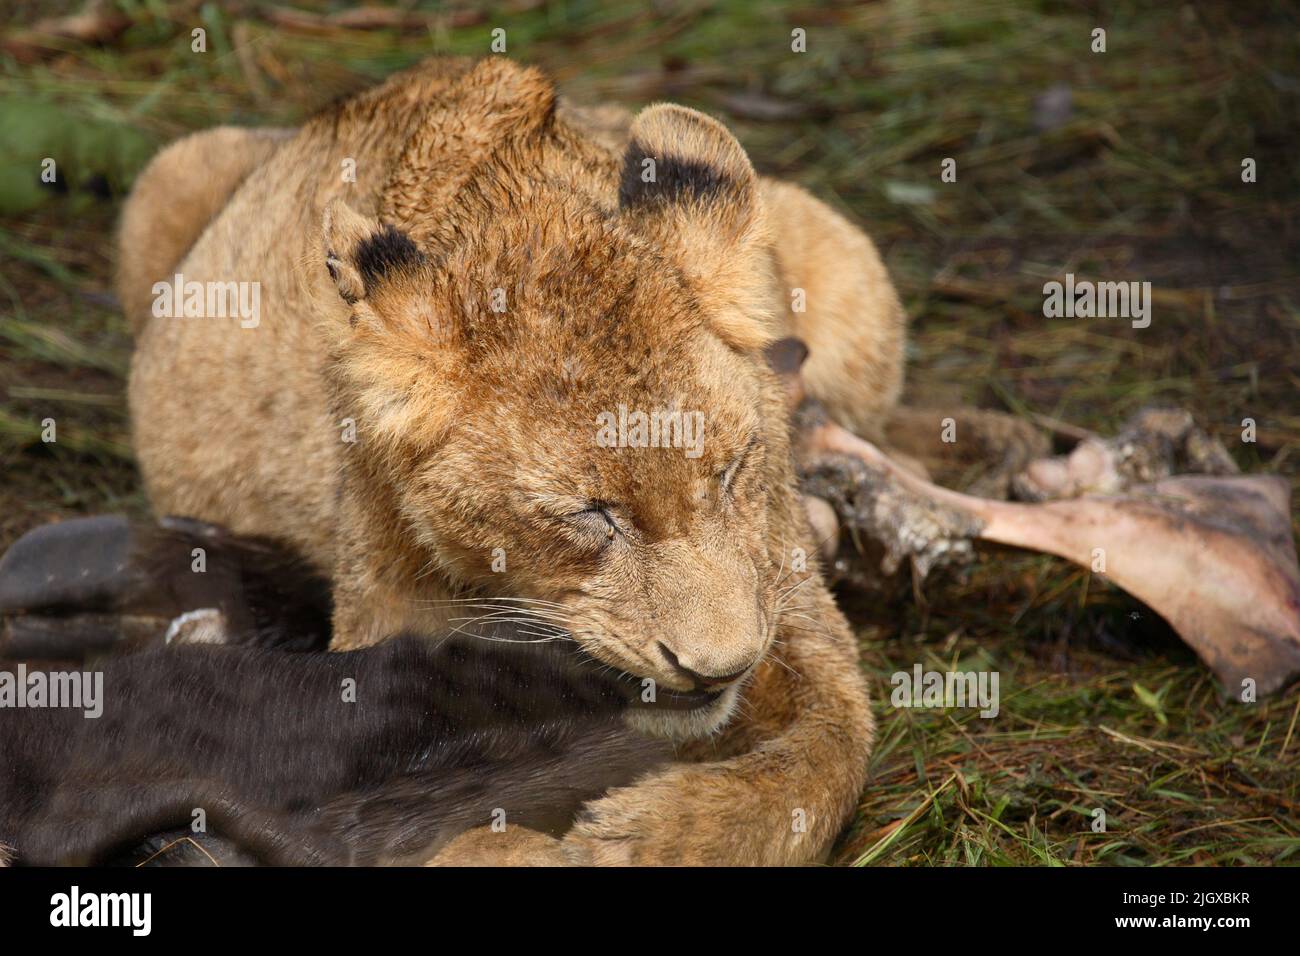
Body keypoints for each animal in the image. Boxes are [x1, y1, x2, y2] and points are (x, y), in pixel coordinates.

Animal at [118, 57, 907, 865]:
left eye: (729, 472)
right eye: (592, 515)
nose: (720, 666)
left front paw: (630, 835)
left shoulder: (783, 595)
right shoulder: (380, 626)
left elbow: (826, 756)